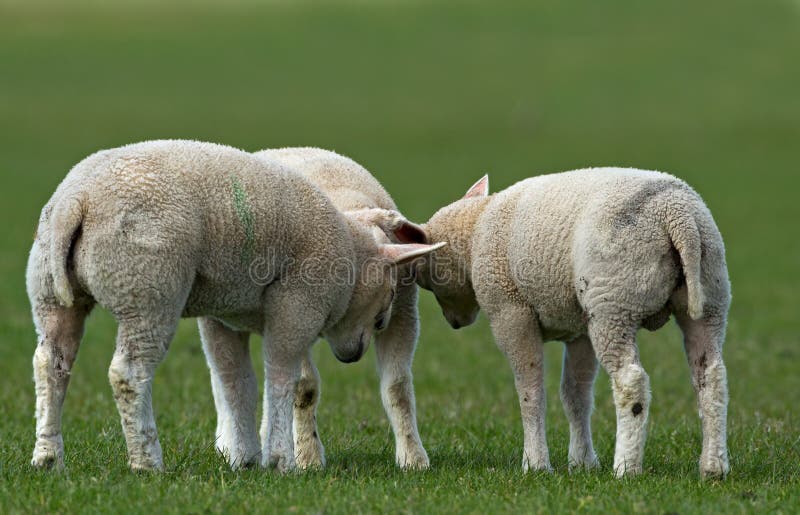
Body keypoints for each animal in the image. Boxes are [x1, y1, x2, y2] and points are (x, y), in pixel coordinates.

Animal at [26, 140, 444, 472]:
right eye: (382, 306)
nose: (354, 354)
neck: (350, 252)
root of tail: (76, 202)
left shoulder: (225, 313)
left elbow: (236, 381)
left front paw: (246, 458)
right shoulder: (297, 305)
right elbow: (284, 381)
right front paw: (281, 459)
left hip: (49, 289)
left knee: (51, 364)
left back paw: (48, 457)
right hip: (146, 290)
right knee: (129, 374)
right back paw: (146, 462)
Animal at [413, 169, 731, 478]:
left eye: (426, 280)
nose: (455, 323)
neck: (475, 229)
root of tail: (677, 215)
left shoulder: (511, 312)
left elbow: (530, 392)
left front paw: (536, 464)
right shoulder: (580, 330)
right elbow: (576, 395)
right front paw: (582, 462)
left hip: (614, 302)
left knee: (631, 381)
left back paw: (626, 467)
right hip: (709, 293)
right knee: (711, 377)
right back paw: (713, 466)